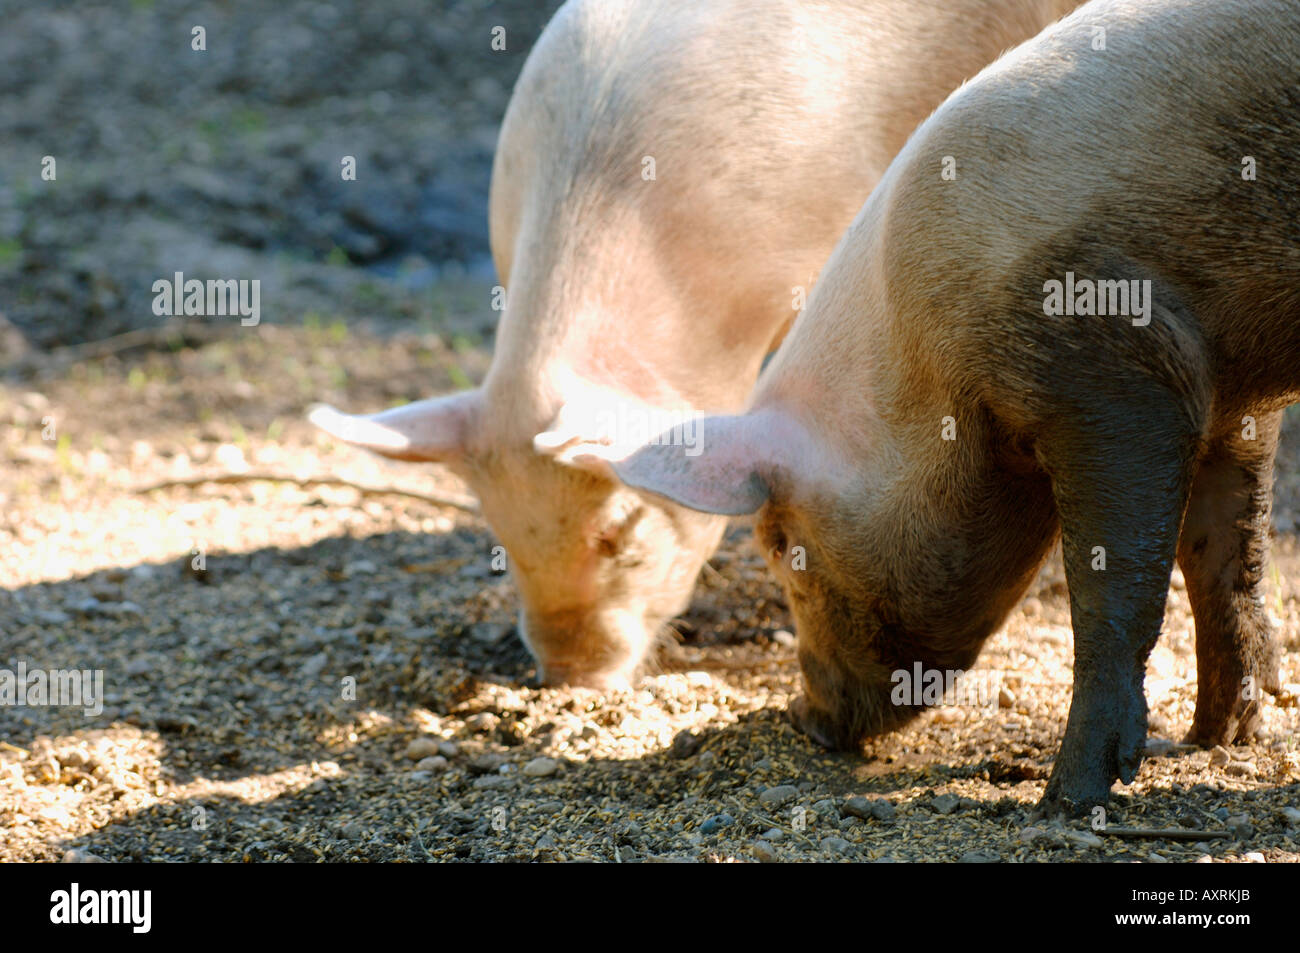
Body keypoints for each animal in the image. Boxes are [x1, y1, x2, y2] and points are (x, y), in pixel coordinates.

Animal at [589, 0, 1300, 811]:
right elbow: (1222, 560)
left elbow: (1111, 591)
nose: (806, 718)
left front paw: (1064, 800)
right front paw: (1213, 741)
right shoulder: (1227, 392)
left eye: (779, 545)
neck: (921, 363)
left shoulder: (1117, 374)